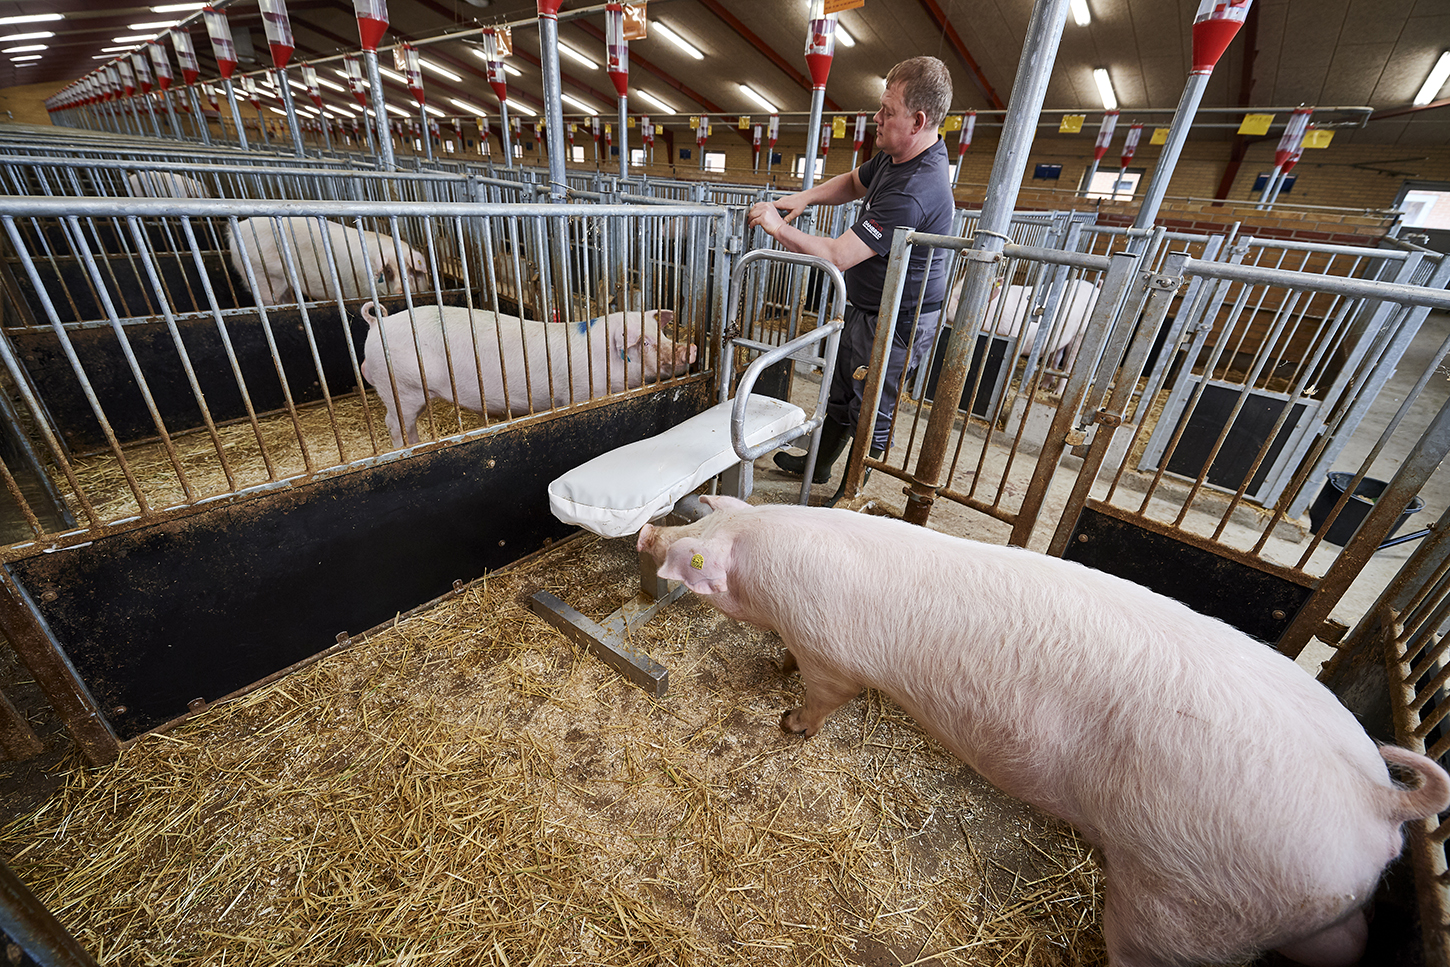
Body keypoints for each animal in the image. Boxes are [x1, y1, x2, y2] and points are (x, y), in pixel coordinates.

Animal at [359, 301, 697, 446]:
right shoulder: (584, 393)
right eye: (645, 342)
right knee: (395, 424)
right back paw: (407, 448)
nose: (690, 348)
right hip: (402, 388)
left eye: (663, 333)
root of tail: (378, 325)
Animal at [636, 495, 1450, 967]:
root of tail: (1379, 799)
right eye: (699, 519)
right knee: (1345, 941)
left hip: (1184, 906)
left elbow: (825, 696)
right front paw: (776, 670)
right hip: (1310, 897)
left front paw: (788, 721)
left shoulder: (835, 653)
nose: (647, 529)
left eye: (691, 548)